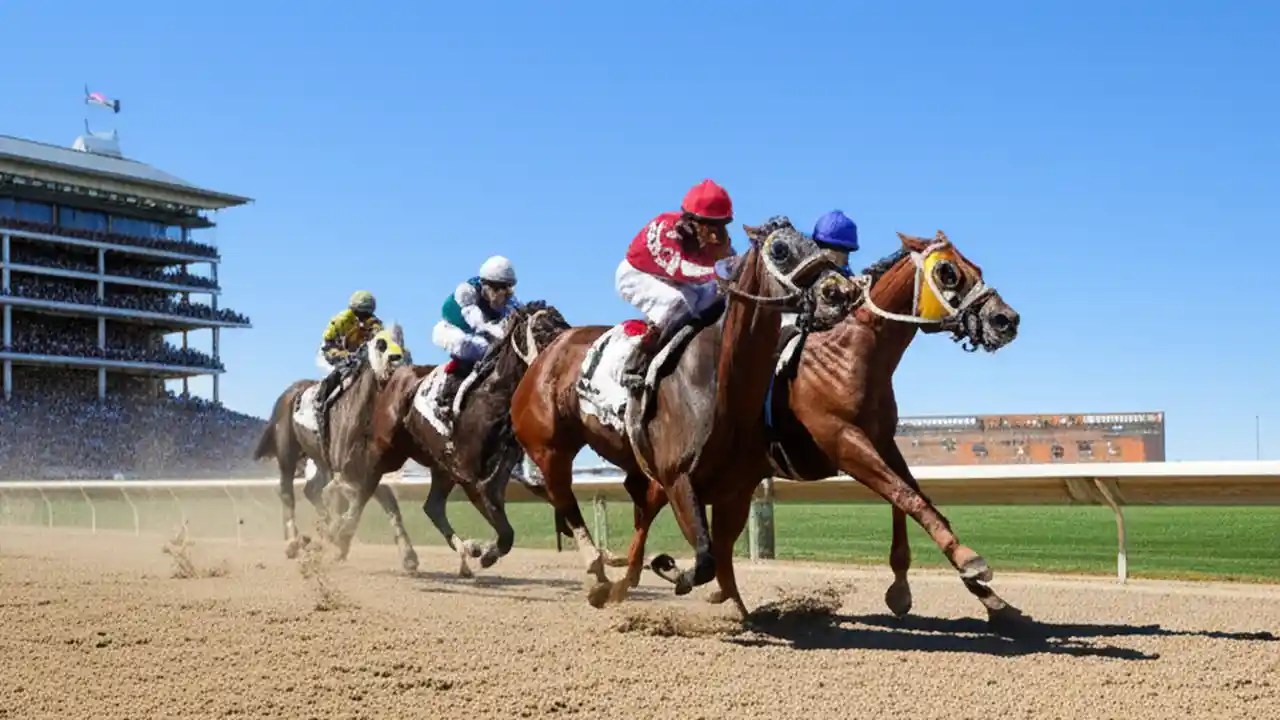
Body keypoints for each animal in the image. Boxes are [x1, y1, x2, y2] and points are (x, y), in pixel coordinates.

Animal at [253, 324, 420, 570]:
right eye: (381, 344)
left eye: (404, 346)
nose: (401, 361)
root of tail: (289, 392)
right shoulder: (347, 468)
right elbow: (348, 495)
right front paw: (337, 537)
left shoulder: (368, 468)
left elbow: (383, 498)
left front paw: (409, 556)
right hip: (287, 453)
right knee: (287, 491)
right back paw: (293, 541)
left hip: (320, 458)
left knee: (311, 489)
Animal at [368, 301, 573, 577]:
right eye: (540, 328)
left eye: (564, 322)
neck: (495, 398)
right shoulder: (471, 476)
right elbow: (505, 532)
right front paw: (487, 553)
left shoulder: (499, 472)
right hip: (389, 451)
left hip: (440, 466)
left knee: (432, 506)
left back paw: (466, 549)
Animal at [511, 216, 858, 616]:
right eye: (781, 250)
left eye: (816, 245)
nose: (841, 291)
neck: (720, 380)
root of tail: (545, 352)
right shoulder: (678, 478)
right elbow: (706, 557)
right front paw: (672, 571)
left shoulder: (736, 488)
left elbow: (719, 552)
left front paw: (731, 605)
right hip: (550, 448)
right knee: (564, 499)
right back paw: (598, 574)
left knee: (636, 505)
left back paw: (620, 576)